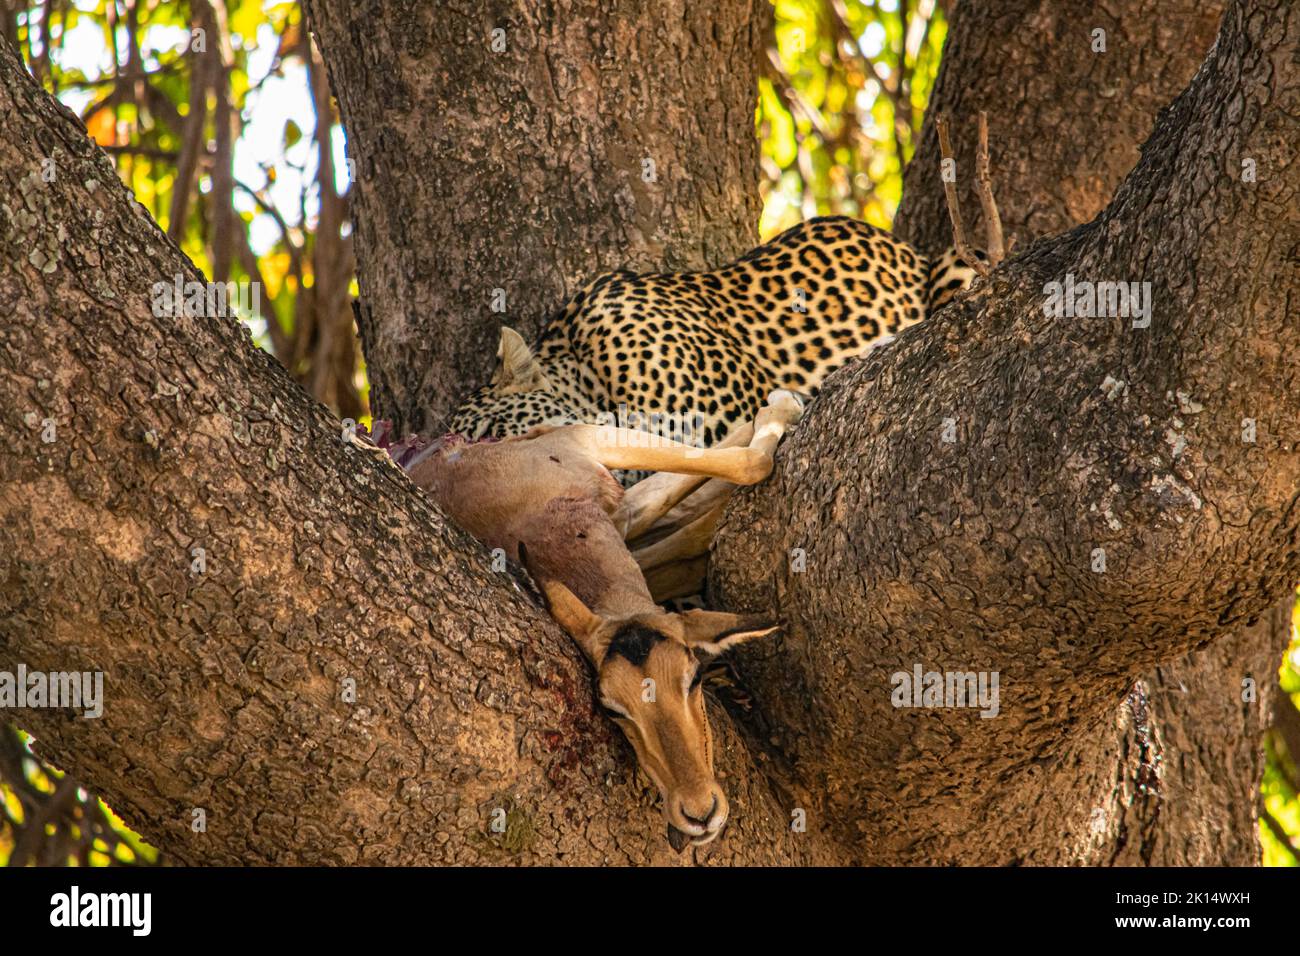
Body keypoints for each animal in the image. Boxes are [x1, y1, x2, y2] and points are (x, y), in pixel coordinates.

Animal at [371, 389, 804, 849]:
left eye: (694, 679)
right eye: (613, 710)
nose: (699, 812)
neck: (531, 510)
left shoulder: (592, 447)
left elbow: (740, 465)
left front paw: (783, 404)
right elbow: (742, 468)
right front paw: (781, 406)